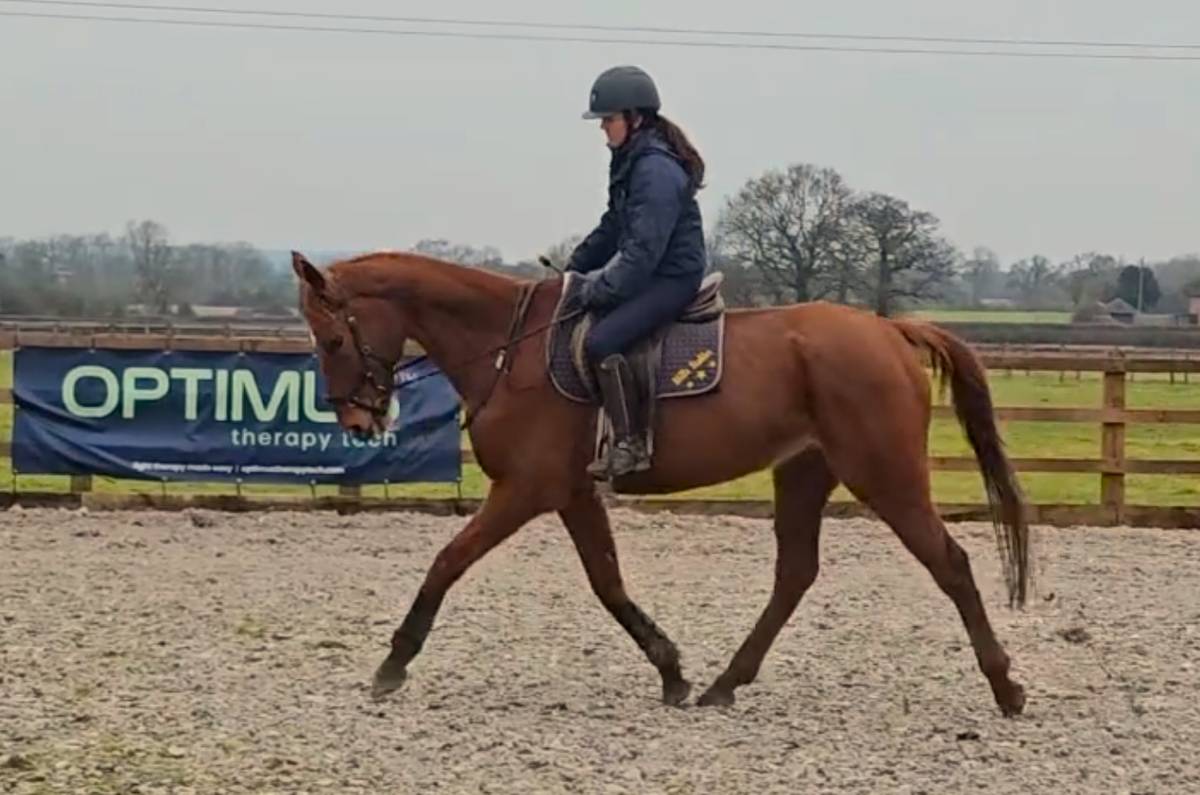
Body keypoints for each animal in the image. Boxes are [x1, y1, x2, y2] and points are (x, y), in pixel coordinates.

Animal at [290, 248, 1032, 717]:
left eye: (333, 340)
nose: (357, 420)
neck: (508, 349)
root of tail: (890, 332)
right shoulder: (572, 492)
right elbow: (608, 581)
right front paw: (671, 669)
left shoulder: (525, 490)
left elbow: (447, 561)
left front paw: (393, 664)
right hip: (804, 471)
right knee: (795, 573)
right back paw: (725, 683)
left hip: (885, 475)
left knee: (950, 563)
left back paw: (1005, 686)